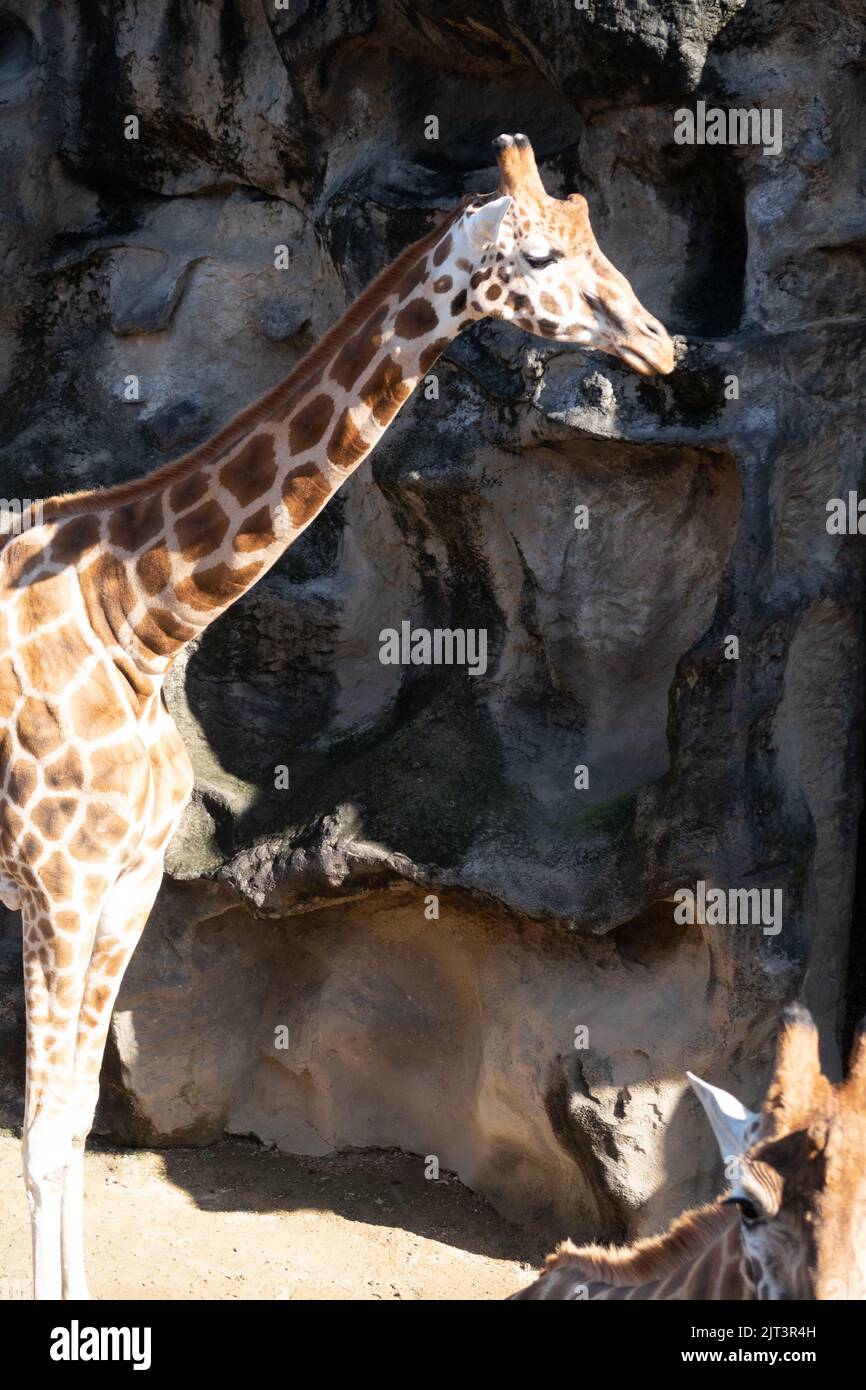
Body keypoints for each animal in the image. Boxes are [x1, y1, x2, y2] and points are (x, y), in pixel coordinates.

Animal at [0, 132, 674, 1301]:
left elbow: (75, 1122)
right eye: (540, 255)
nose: (661, 344)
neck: (139, 616)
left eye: (601, 243)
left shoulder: (123, 882)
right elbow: (42, 1139)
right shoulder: (57, 881)